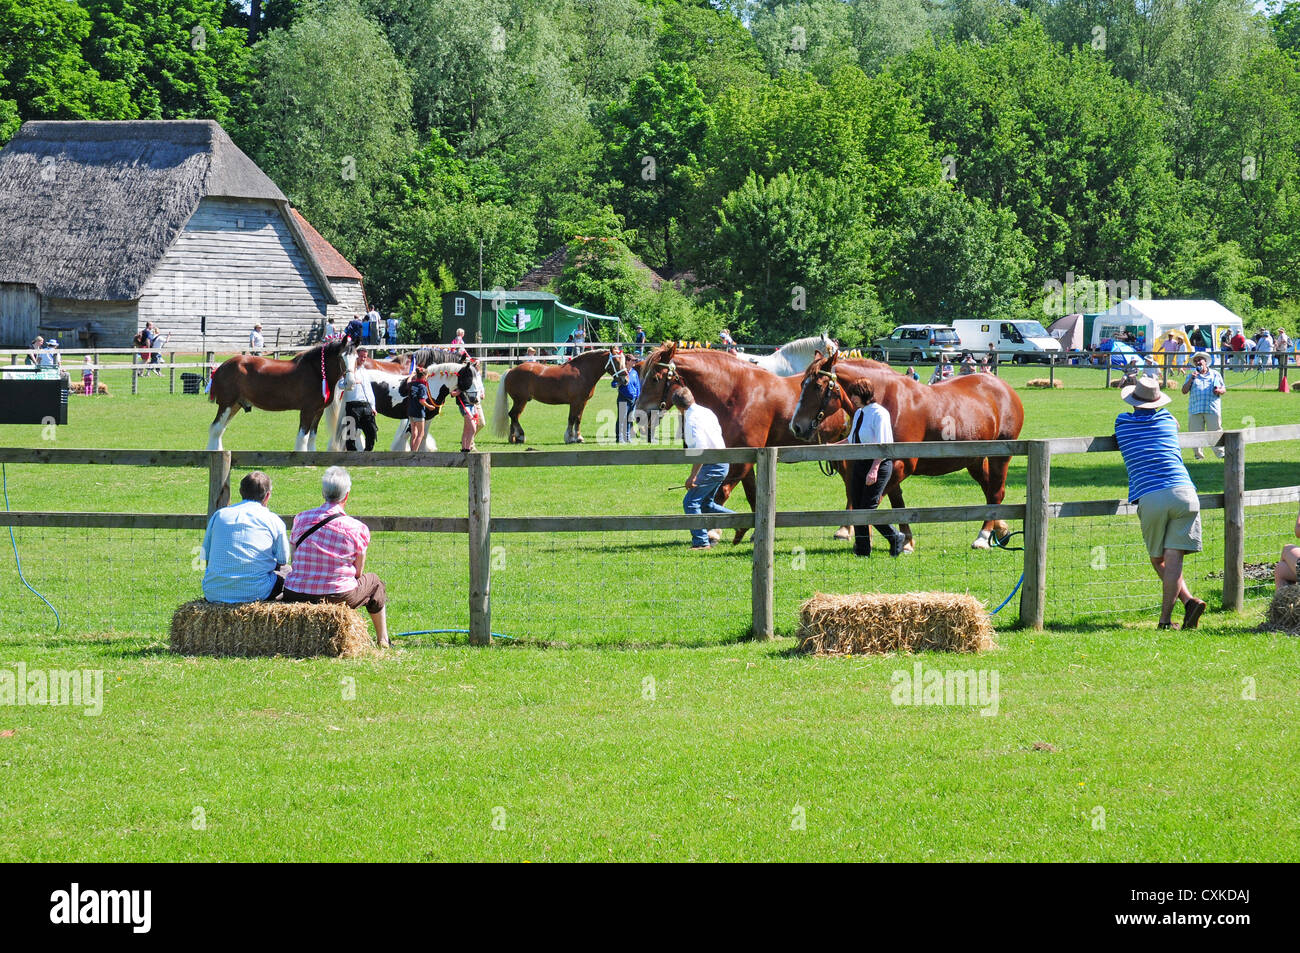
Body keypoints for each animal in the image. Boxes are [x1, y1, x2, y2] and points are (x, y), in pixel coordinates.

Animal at [207, 336, 357, 451]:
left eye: (356, 358)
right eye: (341, 357)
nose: (350, 382)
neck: (317, 372)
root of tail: (222, 366)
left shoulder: (318, 411)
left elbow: (312, 436)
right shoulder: (307, 410)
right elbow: (303, 436)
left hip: (235, 405)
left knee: (220, 429)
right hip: (226, 404)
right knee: (215, 428)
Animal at [493, 348, 627, 444]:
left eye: (624, 361)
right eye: (616, 362)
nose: (625, 380)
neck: (582, 372)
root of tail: (511, 371)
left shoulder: (583, 402)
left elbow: (578, 419)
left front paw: (579, 437)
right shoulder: (575, 402)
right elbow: (571, 419)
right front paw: (570, 438)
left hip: (520, 401)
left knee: (514, 416)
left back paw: (513, 438)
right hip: (521, 400)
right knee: (513, 415)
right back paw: (520, 436)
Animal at [634, 342, 854, 543]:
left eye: (655, 379)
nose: (637, 416)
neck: (737, 394)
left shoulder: (742, 460)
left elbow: (722, 492)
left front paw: (714, 532)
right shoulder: (746, 456)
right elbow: (753, 494)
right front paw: (756, 531)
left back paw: (845, 529)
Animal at [789, 349, 1025, 549]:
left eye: (817, 386)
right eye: (802, 383)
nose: (796, 426)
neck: (884, 401)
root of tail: (1004, 387)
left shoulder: (901, 464)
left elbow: (873, 502)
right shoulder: (887, 465)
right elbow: (897, 503)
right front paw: (907, 540)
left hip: (1000, 457)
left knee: (995, 491)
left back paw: (983, 537)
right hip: (974, 459)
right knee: (991, 490)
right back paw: (1000, 528)